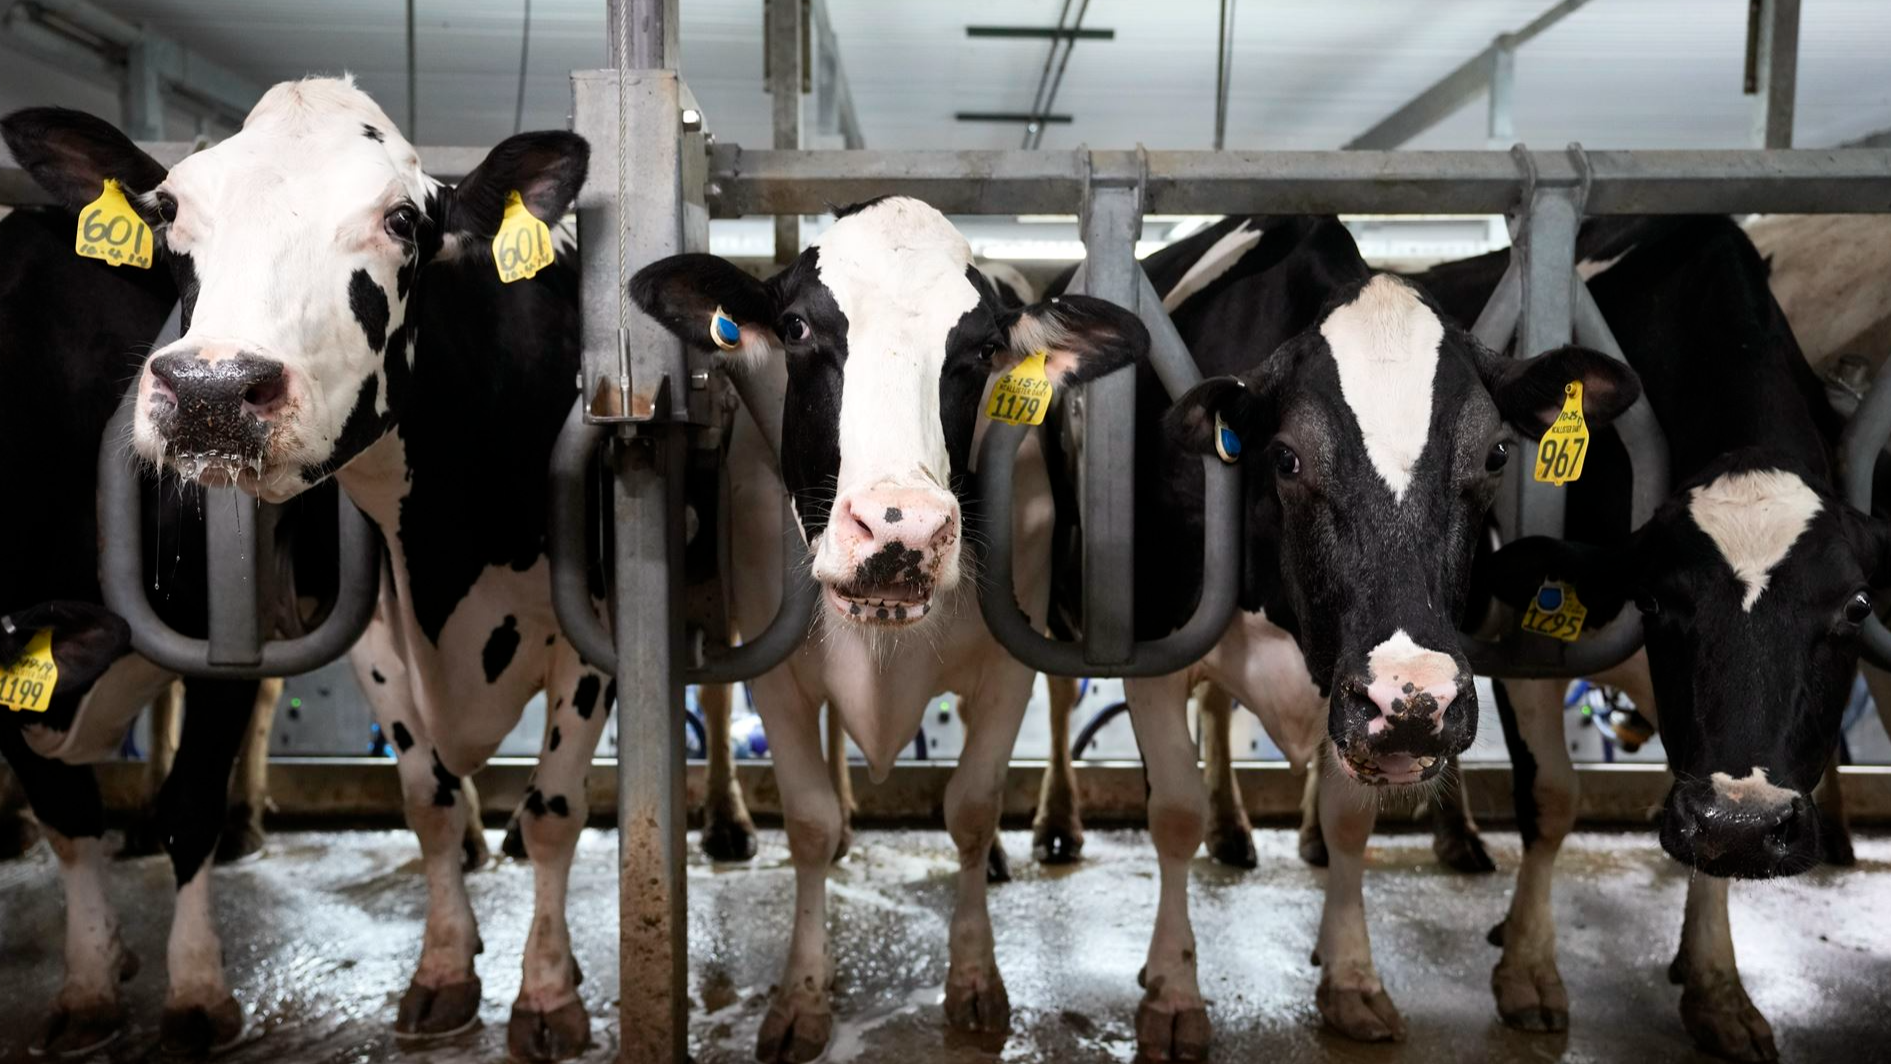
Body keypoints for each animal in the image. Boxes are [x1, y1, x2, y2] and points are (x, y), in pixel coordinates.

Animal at [4, 76, 599, 1060]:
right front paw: (445, 969)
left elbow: (554, 812)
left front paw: (547, 995)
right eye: (171, 209)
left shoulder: (594, 631)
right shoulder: (377, 630)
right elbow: (426, 800)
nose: (211, 390)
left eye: (402, 219)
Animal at [630, 194, 1149, 1063]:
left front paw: (974, 981)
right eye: (797, 328)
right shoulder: (777, 674)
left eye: (980, 348)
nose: (900, 528)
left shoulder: (1006, 669)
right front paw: (802, 998)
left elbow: (971, 806)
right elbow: (807, 821)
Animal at [1055, 213, 1639, 1058]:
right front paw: (1171, 991)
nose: (1414, 699)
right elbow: (1172, 813)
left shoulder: (1354, 705)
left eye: (1496, 454)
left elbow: (1348, 824)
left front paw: (1351, 976)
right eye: (1286, 457)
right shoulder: (1149, 643)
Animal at [1413, 214, 1888, 1062]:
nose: (1746, 820)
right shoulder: (1522, 636)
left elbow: (1705, 830)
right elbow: (1550, 797)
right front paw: (1528, 973)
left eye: (1856, 607)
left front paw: (1715, 985)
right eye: (1659, 600)